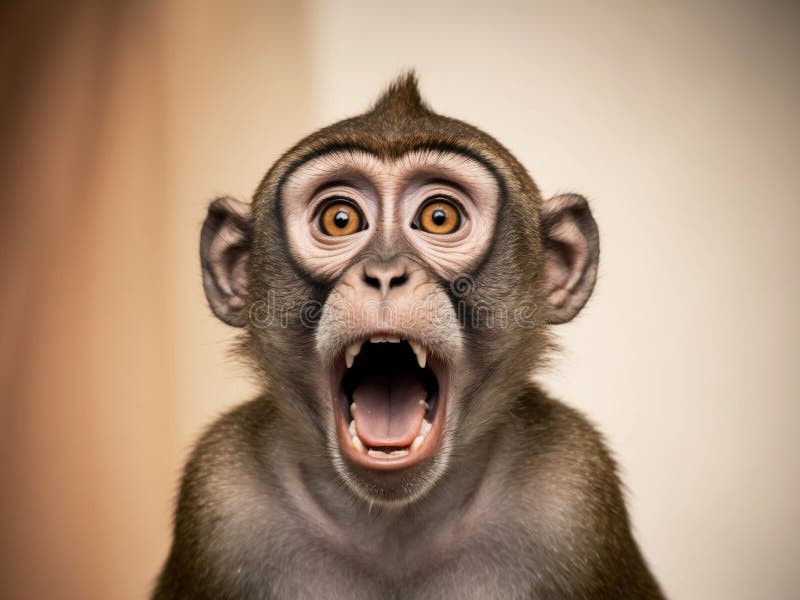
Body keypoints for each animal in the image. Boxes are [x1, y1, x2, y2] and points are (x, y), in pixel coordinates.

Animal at [153, 73, 665, 600]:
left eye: (440, 217)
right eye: (340, 219)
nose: (384, 273)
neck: (393, 521)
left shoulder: (575, 492)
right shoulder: (219, 496)